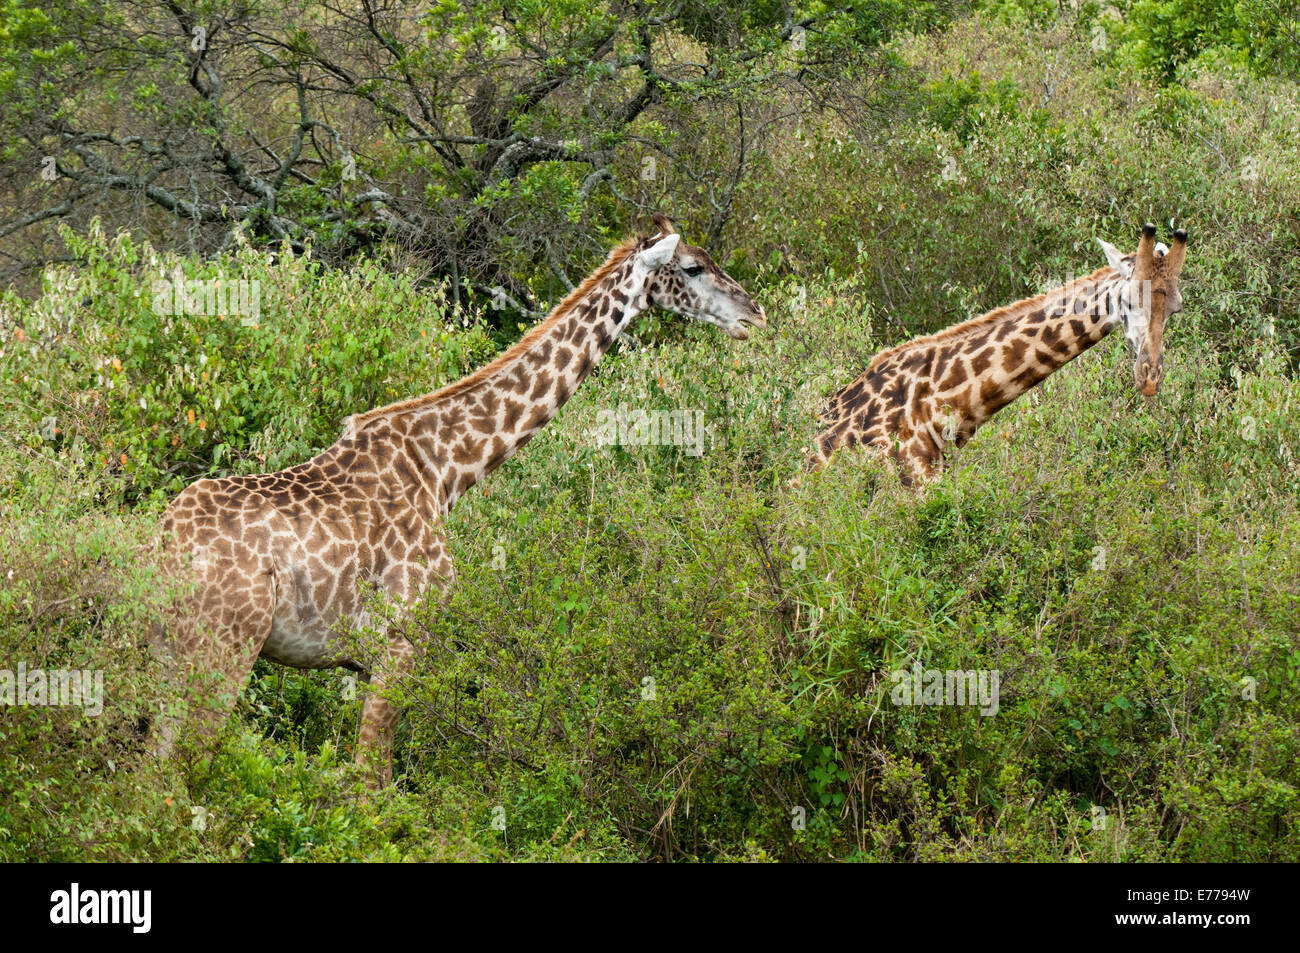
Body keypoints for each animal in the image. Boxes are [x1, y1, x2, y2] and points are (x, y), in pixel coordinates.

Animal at [154, 214, 765, 785]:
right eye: (693, 267)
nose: (755, 316)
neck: (446, 471)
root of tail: (162, 546)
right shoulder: (404, 640)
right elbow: (371, 783)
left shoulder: (367, 661)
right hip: (224, 649)